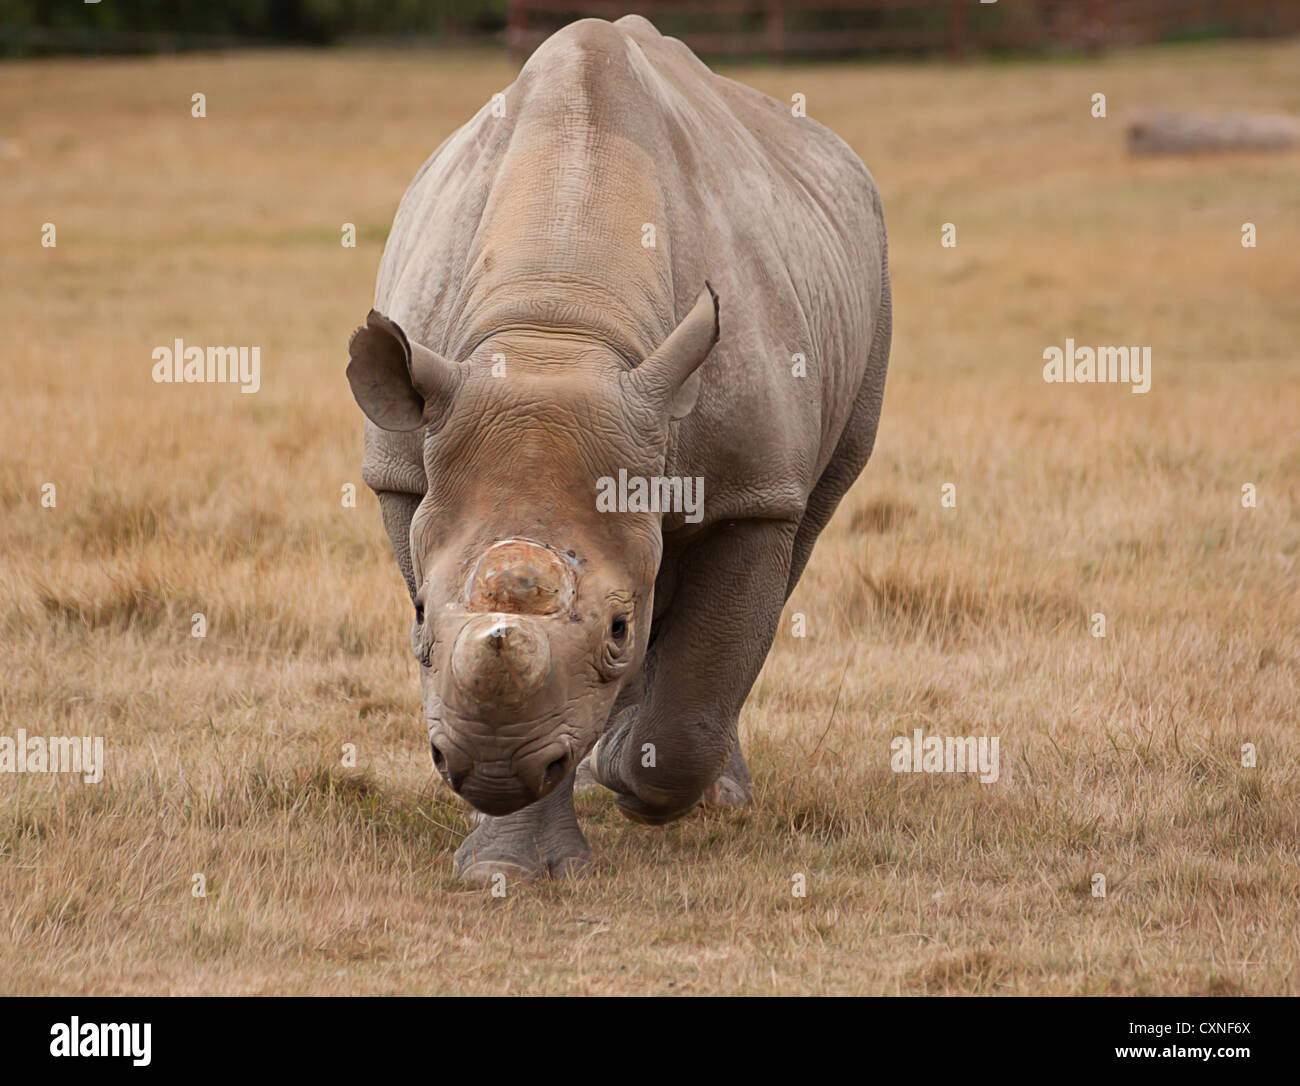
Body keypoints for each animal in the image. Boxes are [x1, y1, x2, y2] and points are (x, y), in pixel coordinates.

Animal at [346, 15, 891, 881]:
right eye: (420, 613)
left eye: (616, 629)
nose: (489, 770)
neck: (558, 328)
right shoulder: (404, 470)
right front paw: (506, 872)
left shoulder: (752, 491)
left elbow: (709, 662)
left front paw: (626, 769)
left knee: (808, 522)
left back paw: (693, 784)